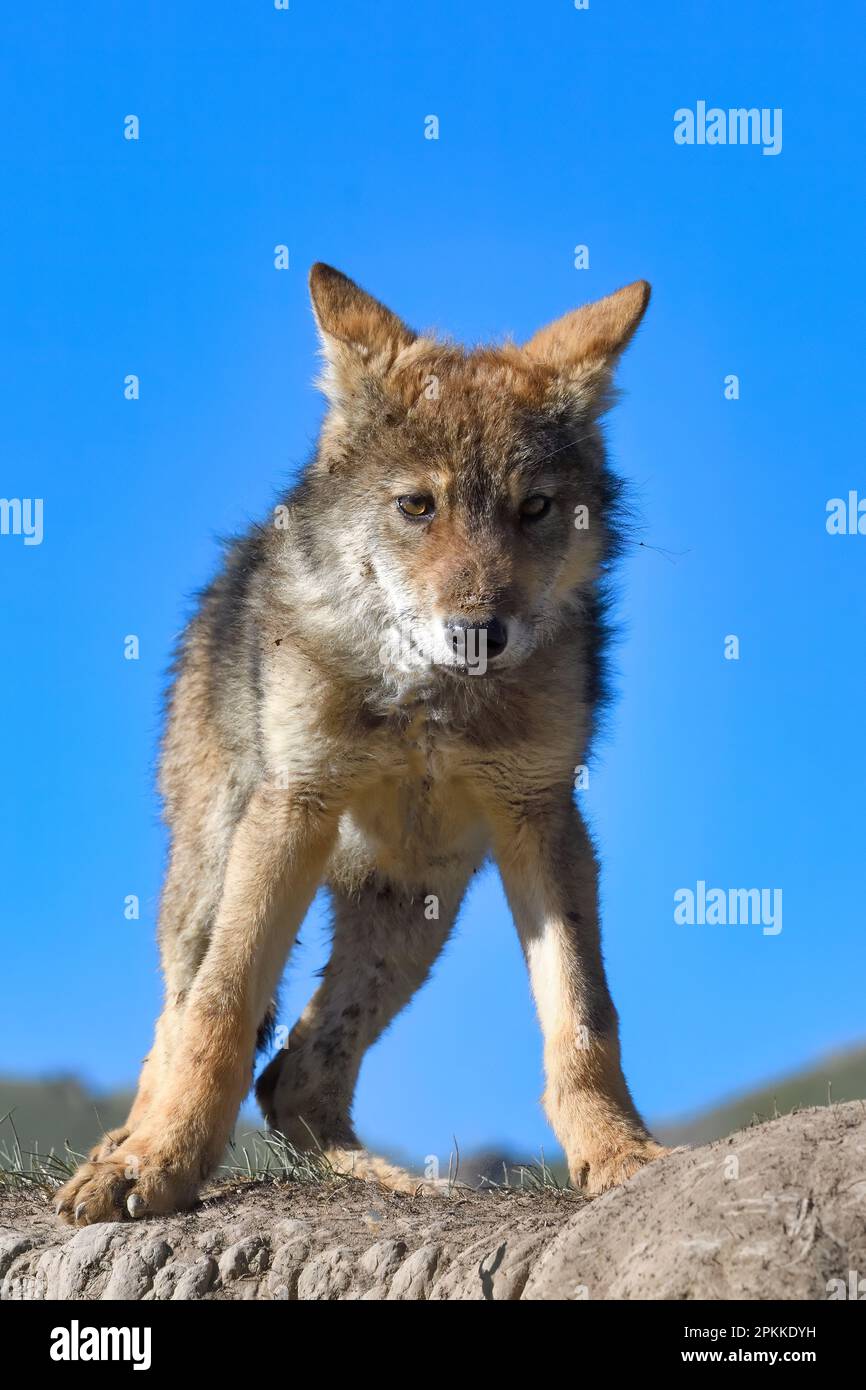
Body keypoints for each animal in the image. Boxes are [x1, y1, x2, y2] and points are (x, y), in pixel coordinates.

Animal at [57, 264, 666, 1224]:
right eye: (418, 506)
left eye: (534, 509)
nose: (481, 632)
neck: (427, 704)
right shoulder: (292, 810)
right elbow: (218, 1014)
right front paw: (155, 1166)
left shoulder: (544, 818)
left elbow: (582, 1016)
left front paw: (619, 1154)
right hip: (213, 875)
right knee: (181, 1022)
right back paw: (126, 1147)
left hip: (416, 909)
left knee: (294, 1075)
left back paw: (383, 1177)